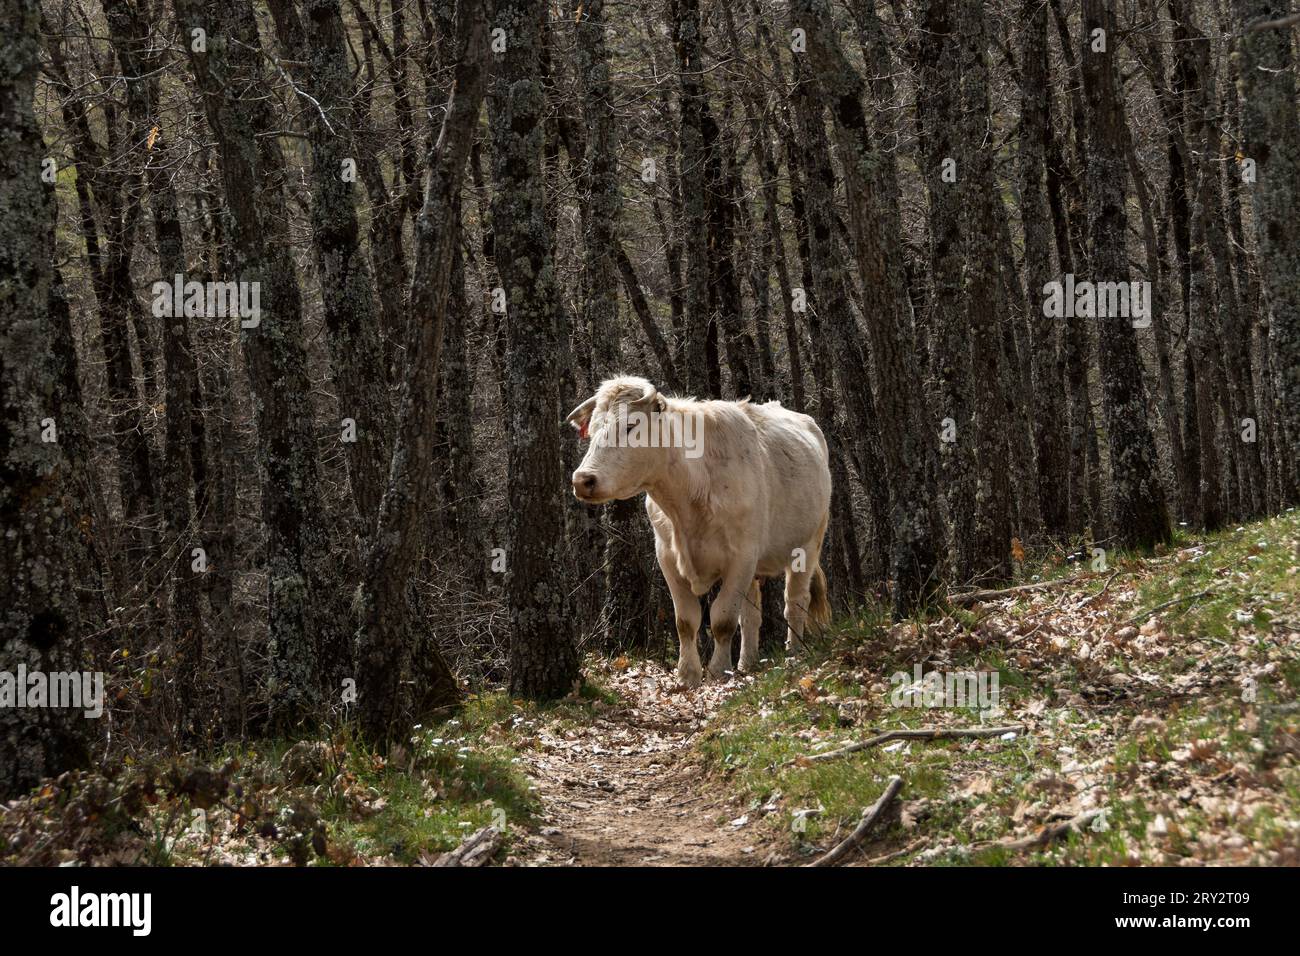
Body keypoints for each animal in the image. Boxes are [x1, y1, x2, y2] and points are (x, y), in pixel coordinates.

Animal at [565, 375, 831, 687]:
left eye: (630, 426)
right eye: (592, 430)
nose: (582, 480)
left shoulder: (742, 557)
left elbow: (723, 619)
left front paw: (718, 671)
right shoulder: (667, 557)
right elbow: (686, 621)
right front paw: (688, 675)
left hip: (809, 544)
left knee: (795, 602)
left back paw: (794, 653)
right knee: (751, 615)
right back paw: (747, 663)